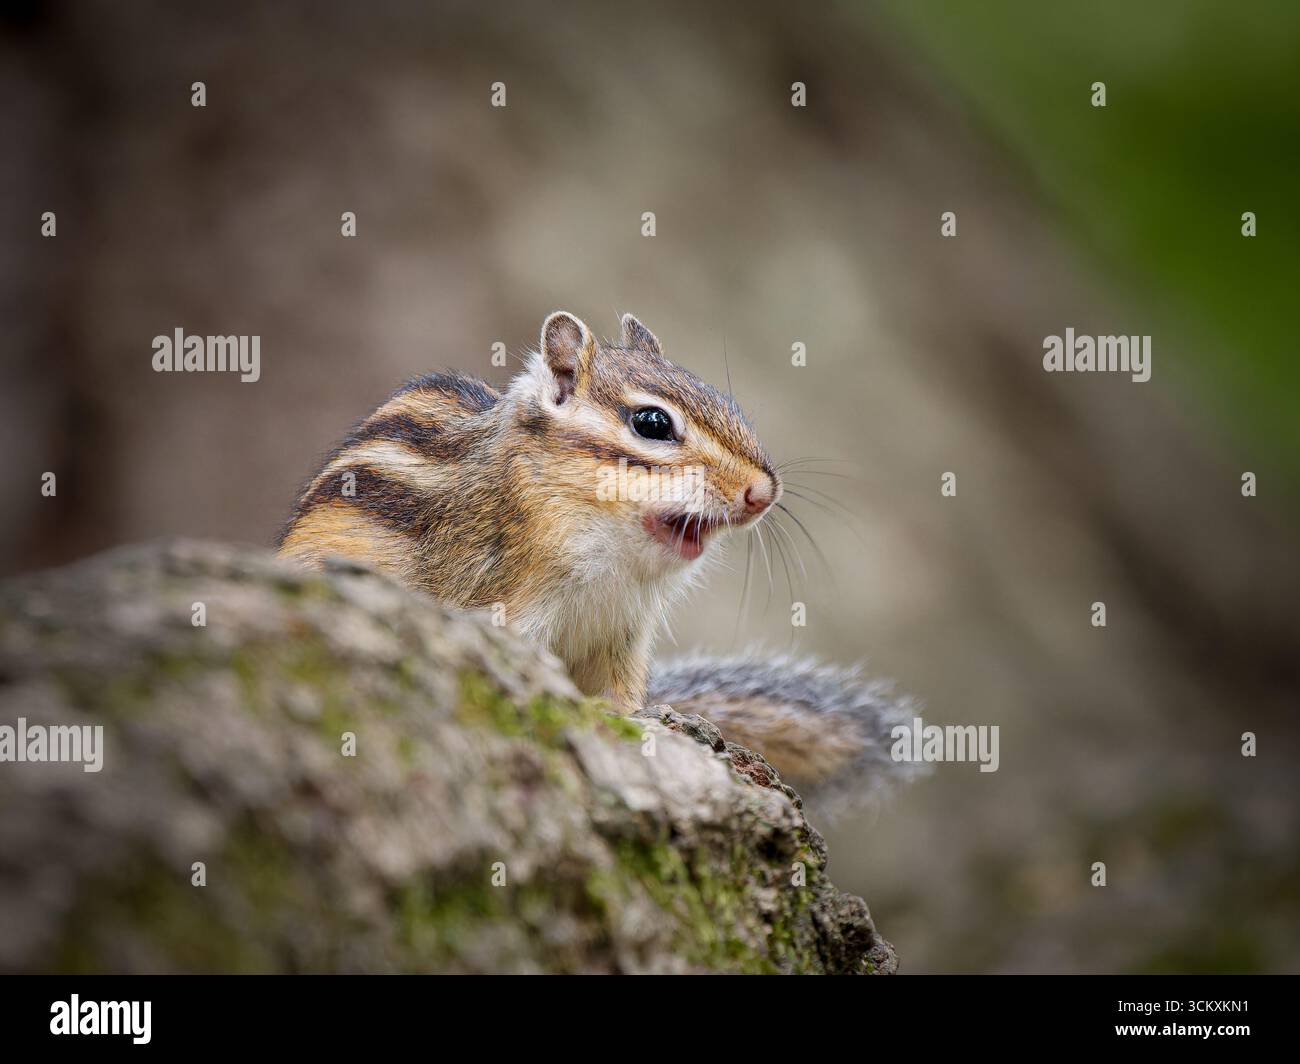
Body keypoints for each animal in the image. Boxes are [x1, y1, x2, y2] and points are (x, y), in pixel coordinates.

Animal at [278, 311, 916, 799]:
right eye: (652, 422)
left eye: (727, 402)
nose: (763, 491)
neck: (610, 557)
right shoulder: (505, 607)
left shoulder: (624, 639)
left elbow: (621, 699)